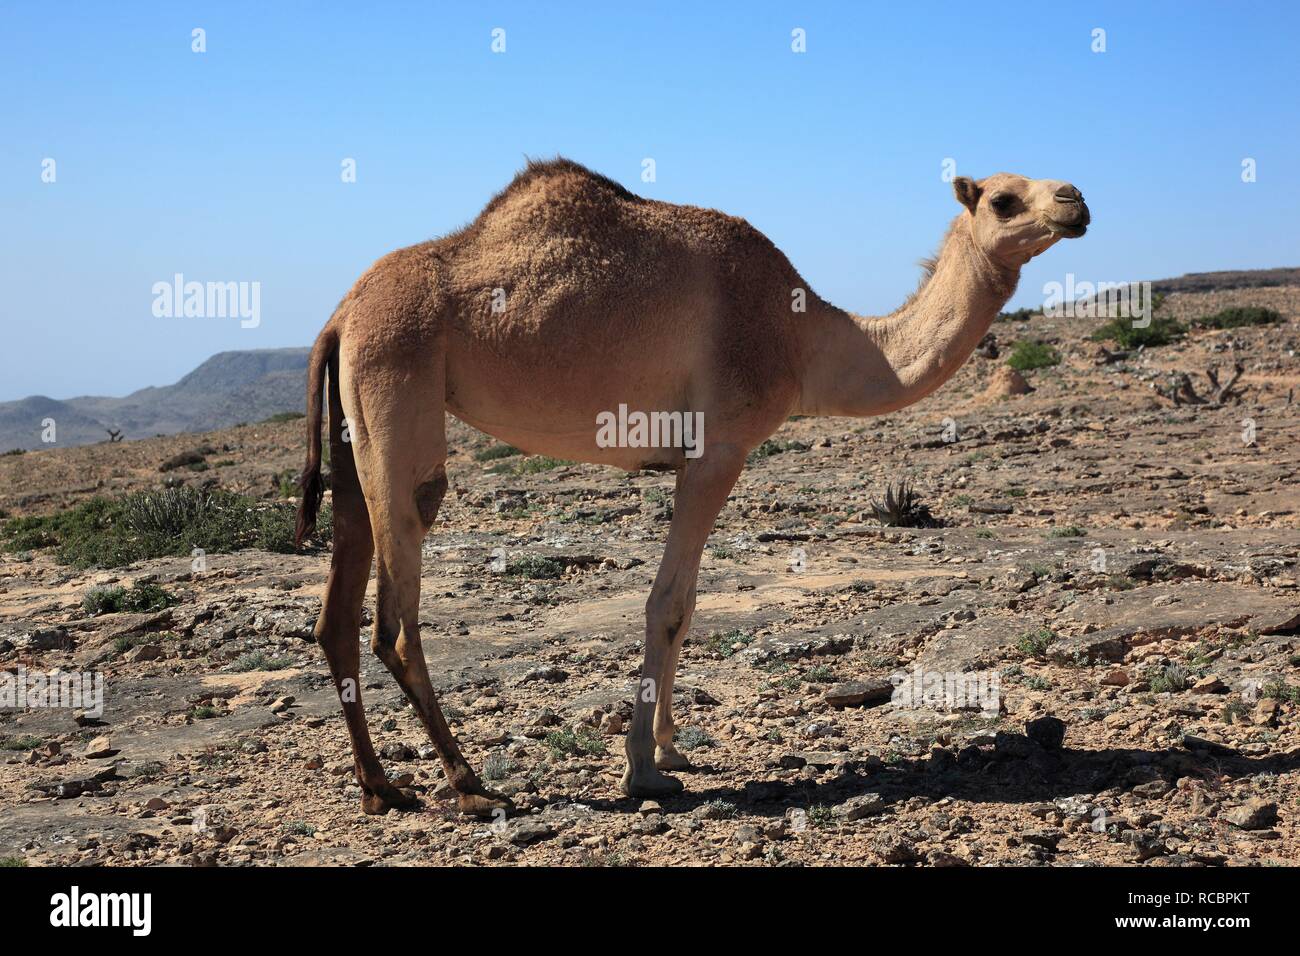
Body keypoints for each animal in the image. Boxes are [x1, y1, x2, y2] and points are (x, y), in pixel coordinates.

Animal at [293, 159, 1089, 816]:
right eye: (1003, 198)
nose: (1077, 201)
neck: (803, 339)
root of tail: (338, 315)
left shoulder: (688, 459)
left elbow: (689, 605)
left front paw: (672, 745)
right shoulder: (721, 448)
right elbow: (668, 606)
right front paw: (643, 770)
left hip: (357, 431)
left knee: (336, 613)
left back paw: (382, 786)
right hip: (399, 394)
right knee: (394, 617)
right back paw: (468, 784)